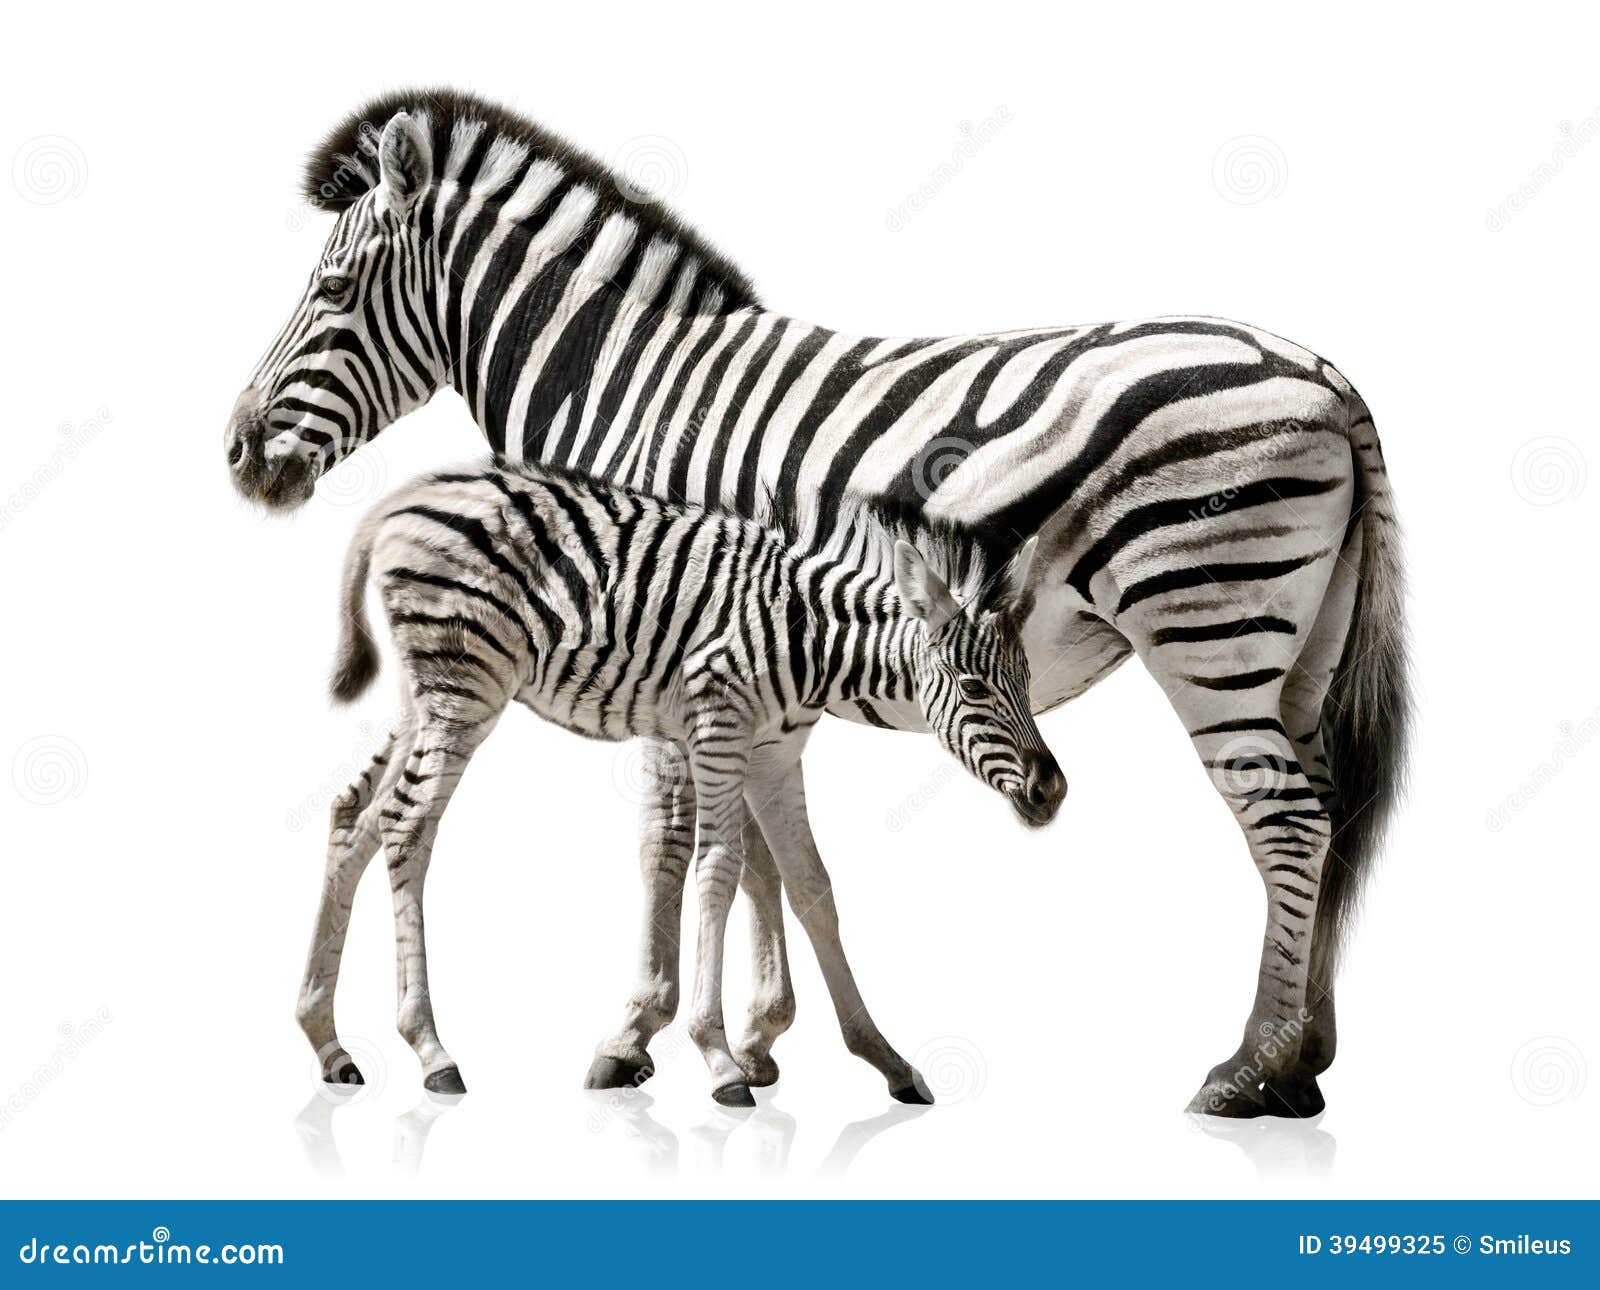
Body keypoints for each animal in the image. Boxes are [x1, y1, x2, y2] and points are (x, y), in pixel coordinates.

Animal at [301, 457, 1059, 1105]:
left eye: (1026, 682)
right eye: (972, 686)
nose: (1052, 791)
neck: (810, 636)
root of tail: (401, 499)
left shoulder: (774, 754)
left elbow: (812, 887)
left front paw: (886, 1058)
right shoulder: (719, 728)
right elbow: (719, 870)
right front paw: (719, 1059)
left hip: (422, 694)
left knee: (354, 815)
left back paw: (326, 1040)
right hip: (464, 686)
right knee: (405, 825)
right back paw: (431, 1049)